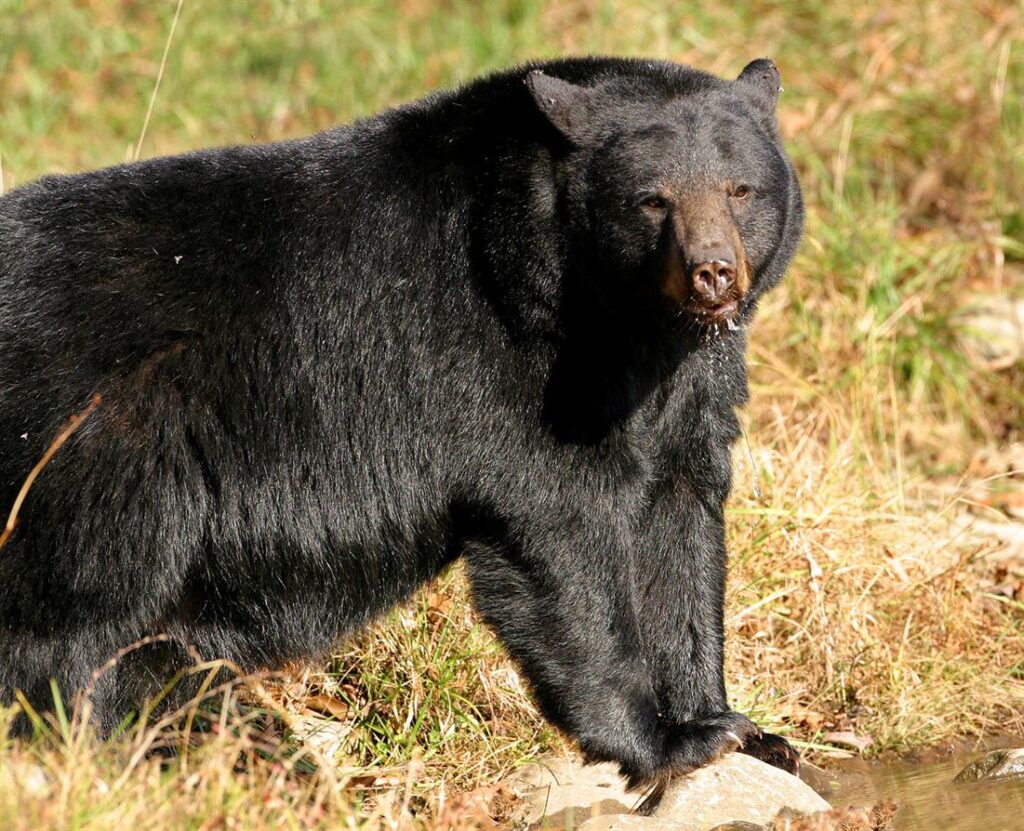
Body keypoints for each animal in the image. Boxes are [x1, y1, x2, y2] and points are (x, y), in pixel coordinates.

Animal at [0, 56, 803, 788]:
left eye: (740, 189)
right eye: (652, 200)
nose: (712, 272)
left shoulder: (686, 383)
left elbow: (679, 520)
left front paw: (741, 727)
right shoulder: (517, 372)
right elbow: (566, 534)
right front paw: (666, 740)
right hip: (97, 445)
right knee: (75, 620)